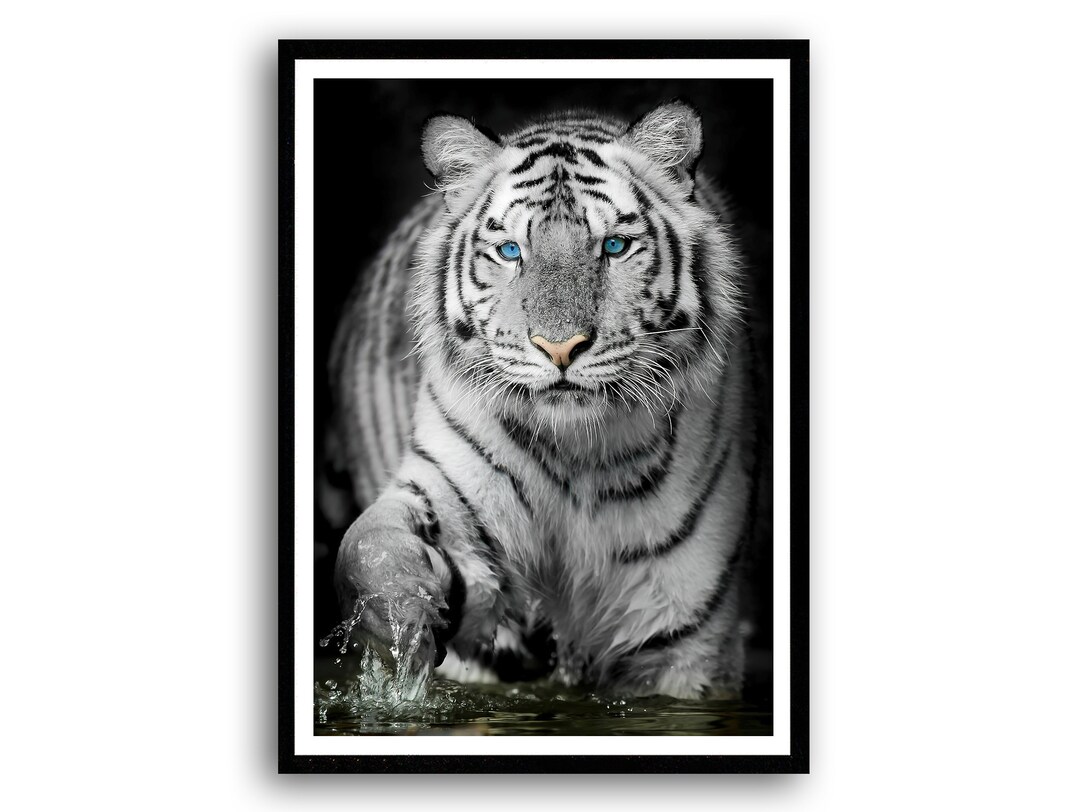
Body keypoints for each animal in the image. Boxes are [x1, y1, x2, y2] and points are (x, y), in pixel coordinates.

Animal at [322, 100, 760, 700]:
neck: (578, 454)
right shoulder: (447, 493)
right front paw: (400, 618)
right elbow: (370, 546)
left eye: (614, 246)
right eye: (511, 252)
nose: (559, 348)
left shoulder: (685, 640)